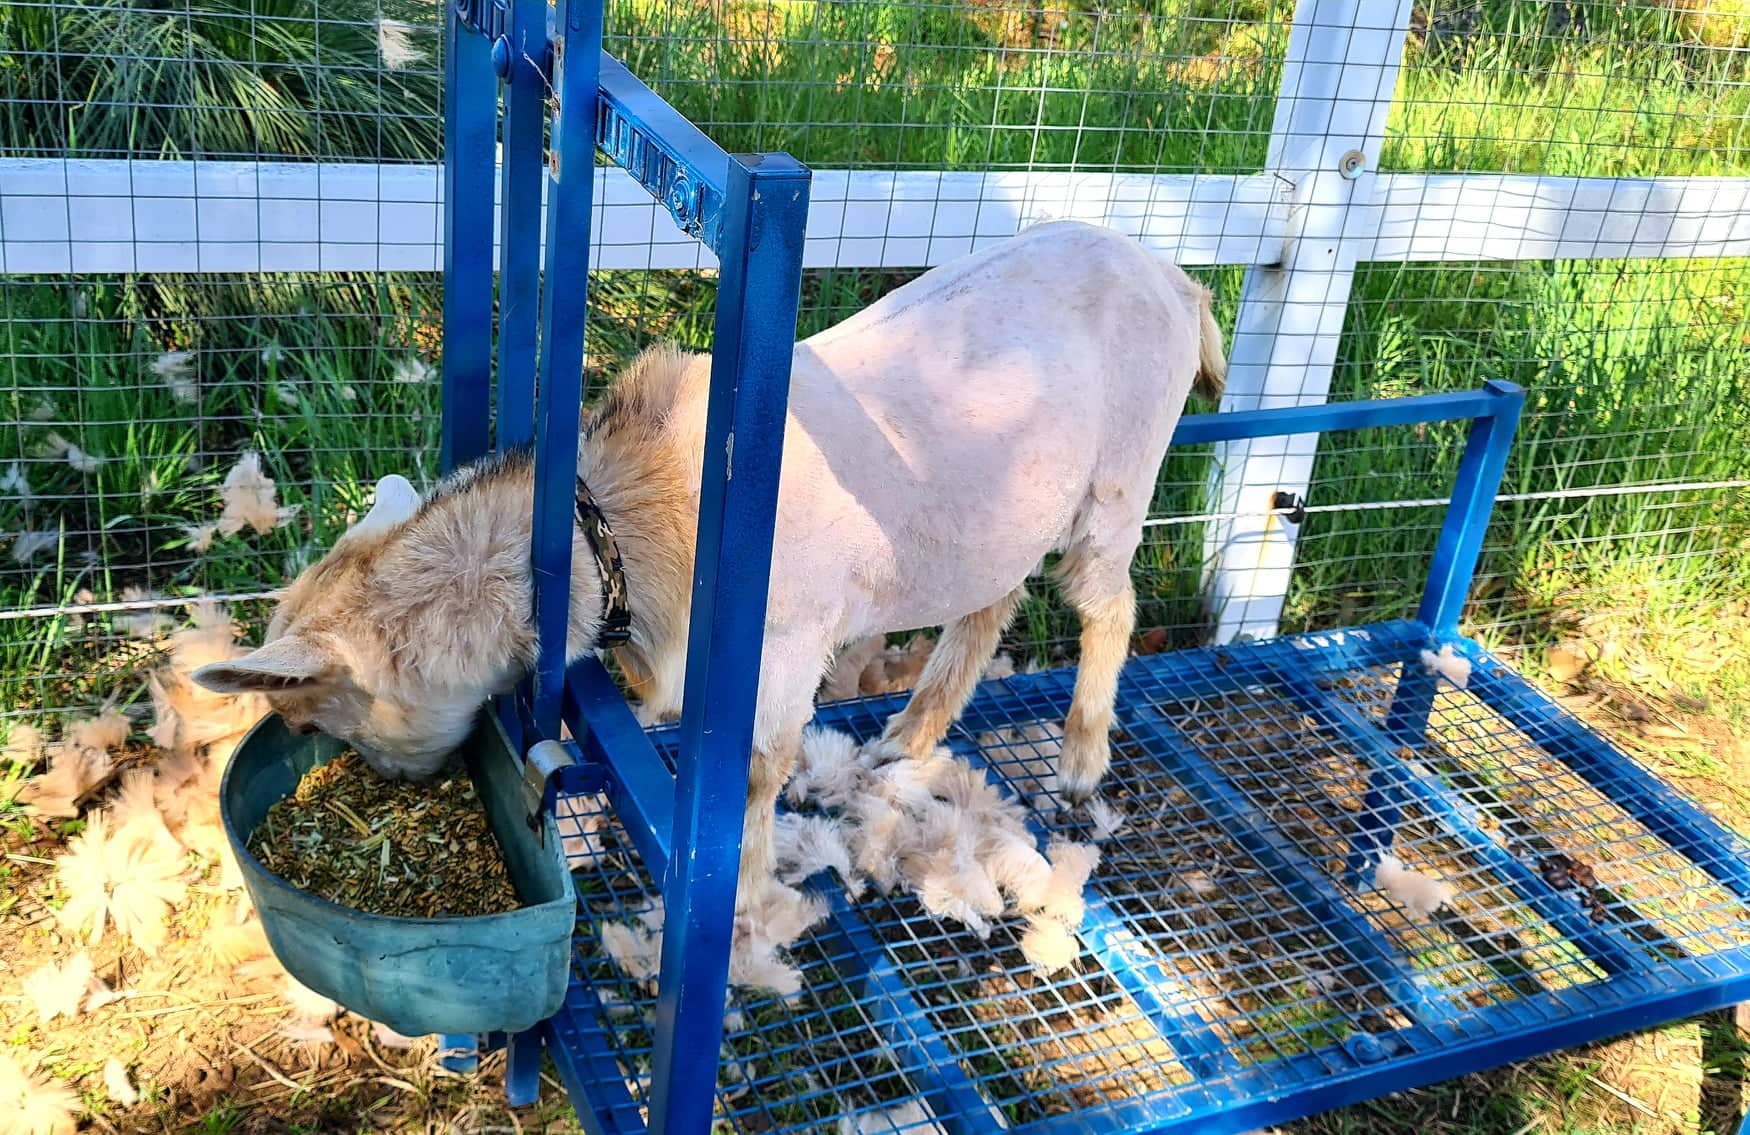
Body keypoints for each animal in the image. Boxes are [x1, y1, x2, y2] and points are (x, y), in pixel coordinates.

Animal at [191, 220, 1226, 905]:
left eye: (315, 712)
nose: (400, 784)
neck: (637, 510)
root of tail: (1177, 280)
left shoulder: (788, 636)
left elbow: (759, 768)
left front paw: (750, 895)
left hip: (1122, 475)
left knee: (1109, 603)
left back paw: (1081, 760)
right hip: (1003, 510)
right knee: (990, 601)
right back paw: (907, 737)